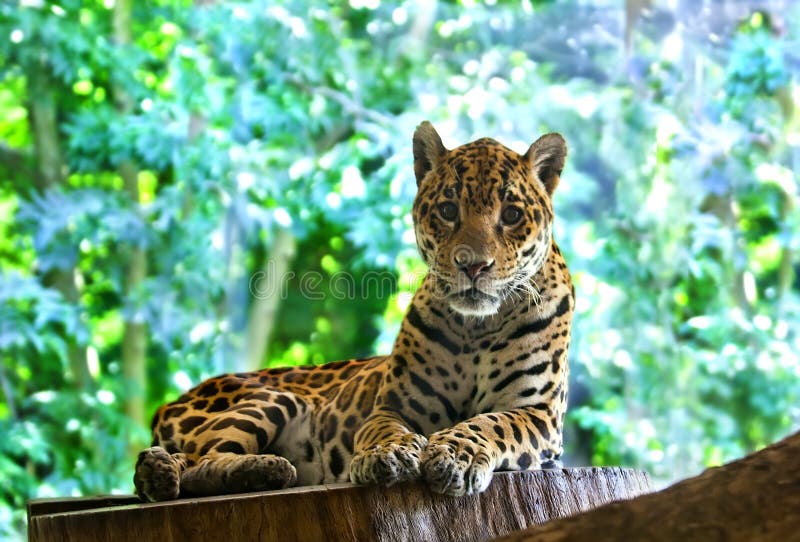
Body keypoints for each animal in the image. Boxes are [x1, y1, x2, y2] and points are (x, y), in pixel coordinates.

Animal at [134, 121, 574, 501]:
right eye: (449, 210)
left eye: (511, 215)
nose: (473, 265)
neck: (477, 328)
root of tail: (167, 405)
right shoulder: (391, 406)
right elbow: (384, 431)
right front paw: (389, 455)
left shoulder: (537, 412)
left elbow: (490, 423)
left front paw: (456, 456)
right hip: (274, 399)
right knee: (198, 463)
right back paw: (250, 470)